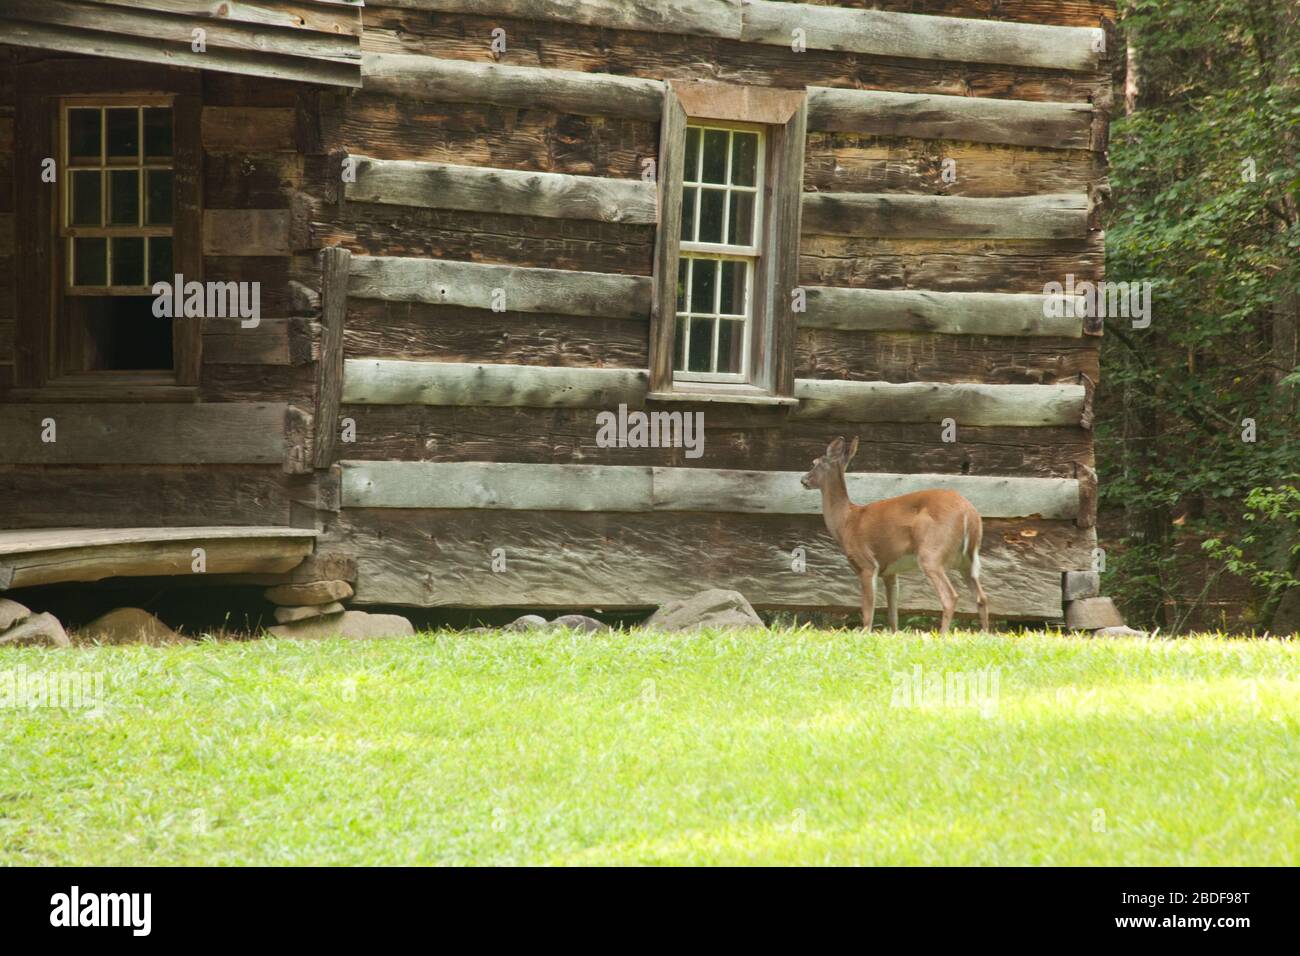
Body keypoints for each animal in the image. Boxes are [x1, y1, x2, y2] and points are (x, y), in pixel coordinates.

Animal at [801, 437, 989, 634]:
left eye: (814, 462)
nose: (802, 480)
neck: (846, 522)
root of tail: (969, 512)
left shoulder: (867, 564)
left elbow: (867, 612)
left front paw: (865, 633)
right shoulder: (890, 572)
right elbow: (893, 614)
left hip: (932, 552)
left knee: (950, 596)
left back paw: (943, 634)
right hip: (966, 561)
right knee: (982, 597)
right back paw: (985, 633)